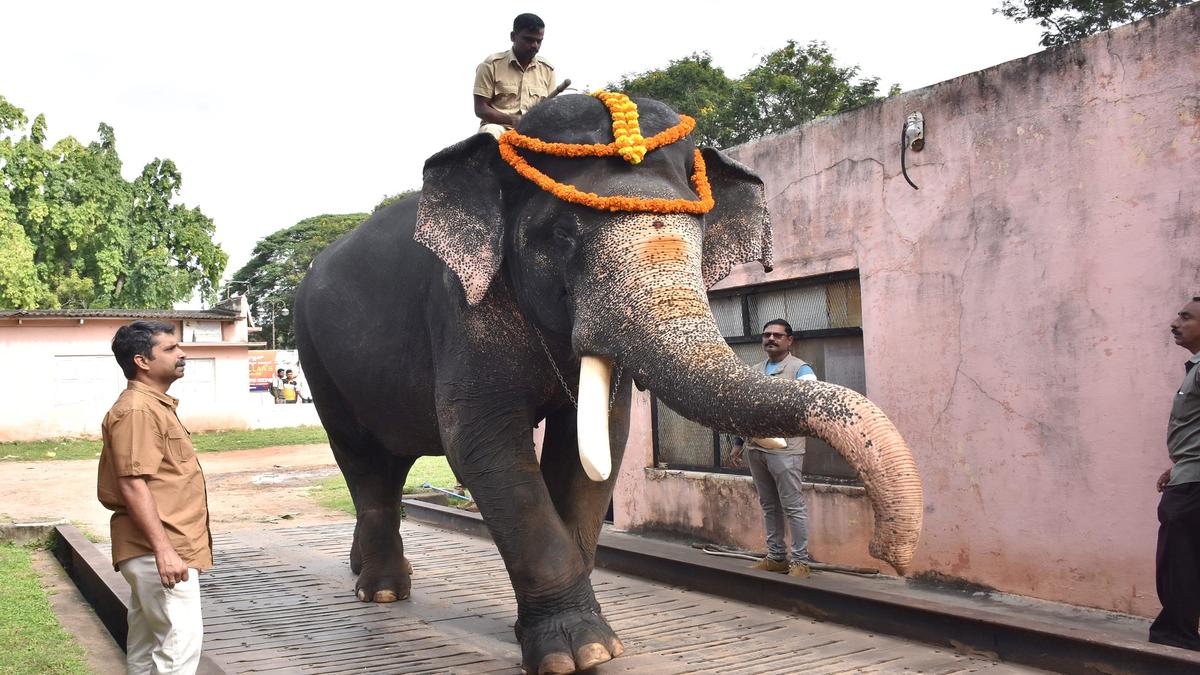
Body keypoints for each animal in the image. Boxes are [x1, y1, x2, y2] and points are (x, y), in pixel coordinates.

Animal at [294, 93, 922, 674]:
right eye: (563, 233)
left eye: (700, 229)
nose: (889, 553)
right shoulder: (460, 310)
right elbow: (482, 441)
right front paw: (577, 652)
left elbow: (599, 445)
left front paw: (577, 642)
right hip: (314, 355)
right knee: (364, 461)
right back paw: (381, 591)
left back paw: (368, 574)